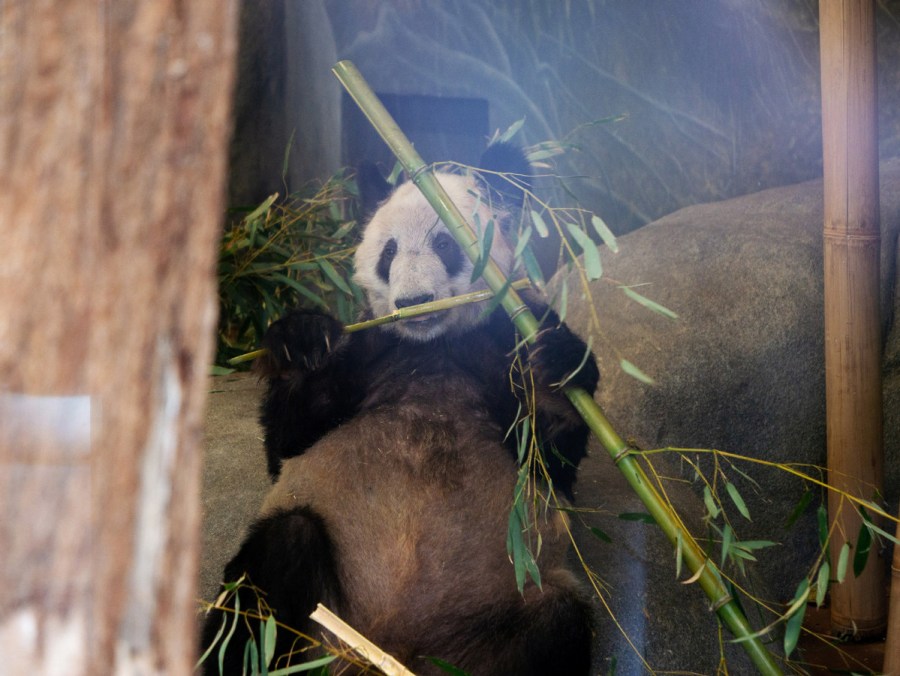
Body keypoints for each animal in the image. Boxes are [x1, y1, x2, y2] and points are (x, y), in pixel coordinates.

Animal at [203, 144, 599, 675]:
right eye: (388, 252)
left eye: (447, 245)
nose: (414, 301)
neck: (431, 345)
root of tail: (385, 648)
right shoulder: (370, 349)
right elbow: (289, 442)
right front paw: (302, 341)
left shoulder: (502, 340)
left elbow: (553, 459)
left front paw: (559, 364)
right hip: (320, 619)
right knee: (272, 568)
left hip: (491, 623)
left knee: (557, 622)